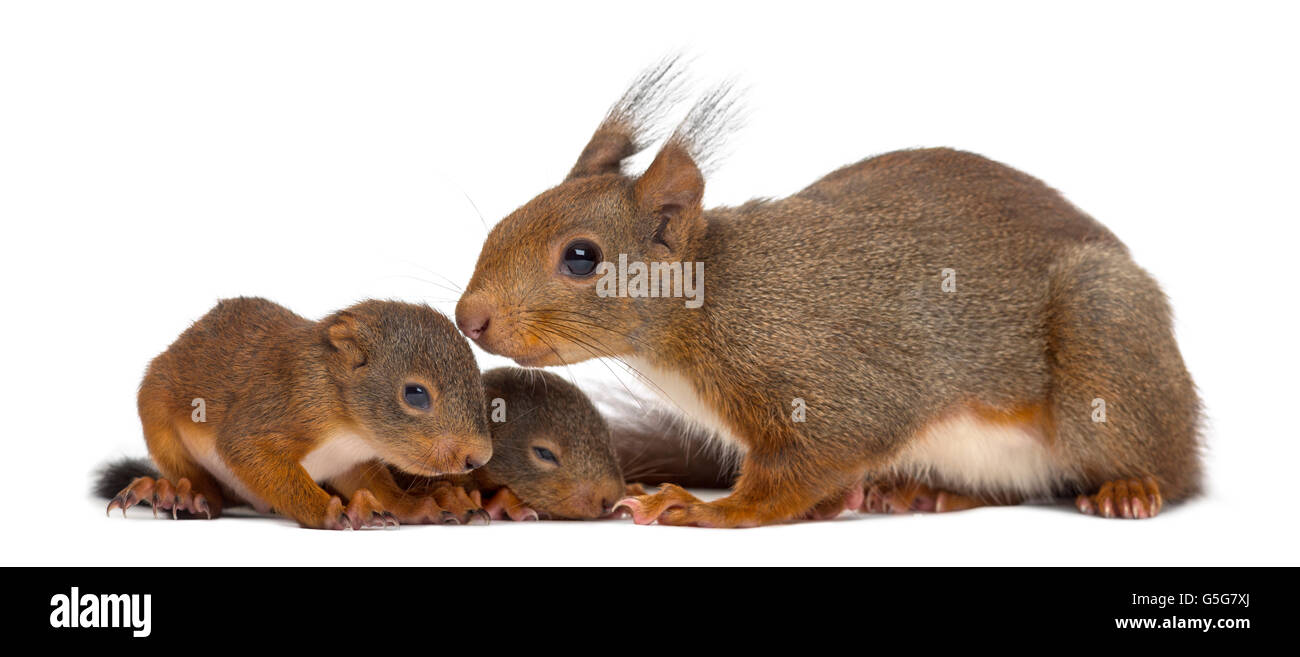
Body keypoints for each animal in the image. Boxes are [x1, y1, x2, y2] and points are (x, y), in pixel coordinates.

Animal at [103, 297, 493, 529]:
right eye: (415, 394)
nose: (479, 457)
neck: (351, 431)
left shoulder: (350, 463)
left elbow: (379, 489)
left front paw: (421, 505)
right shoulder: (286, 405)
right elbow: (248, 451)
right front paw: (332, 511)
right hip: (159, 420)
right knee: (208, 495)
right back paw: (178, 495)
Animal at [453, 59, 1203, 527]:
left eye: (582, 257)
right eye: (510, 217)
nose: (468, 317)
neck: (707, 307)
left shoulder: (830, 379)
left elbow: (805, 465)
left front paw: (706, 508)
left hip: (1103, 329)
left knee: (1166, 469)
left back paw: (1132, 487)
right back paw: (923, 491)